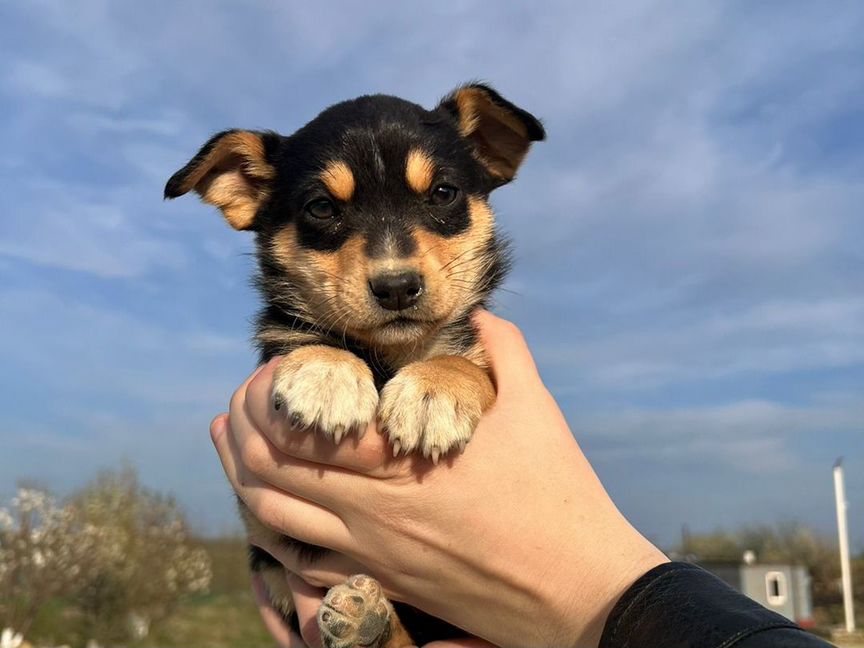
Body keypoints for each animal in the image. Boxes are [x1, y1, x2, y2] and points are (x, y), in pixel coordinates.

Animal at [165, 85, 544, 648]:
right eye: (322, 207)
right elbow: (311, 341)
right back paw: (367, 621)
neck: (388, 356)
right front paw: (327, 376)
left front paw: (432, 393)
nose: (397, 287)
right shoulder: (266, 535)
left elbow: (465, 363)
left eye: (444, 194)